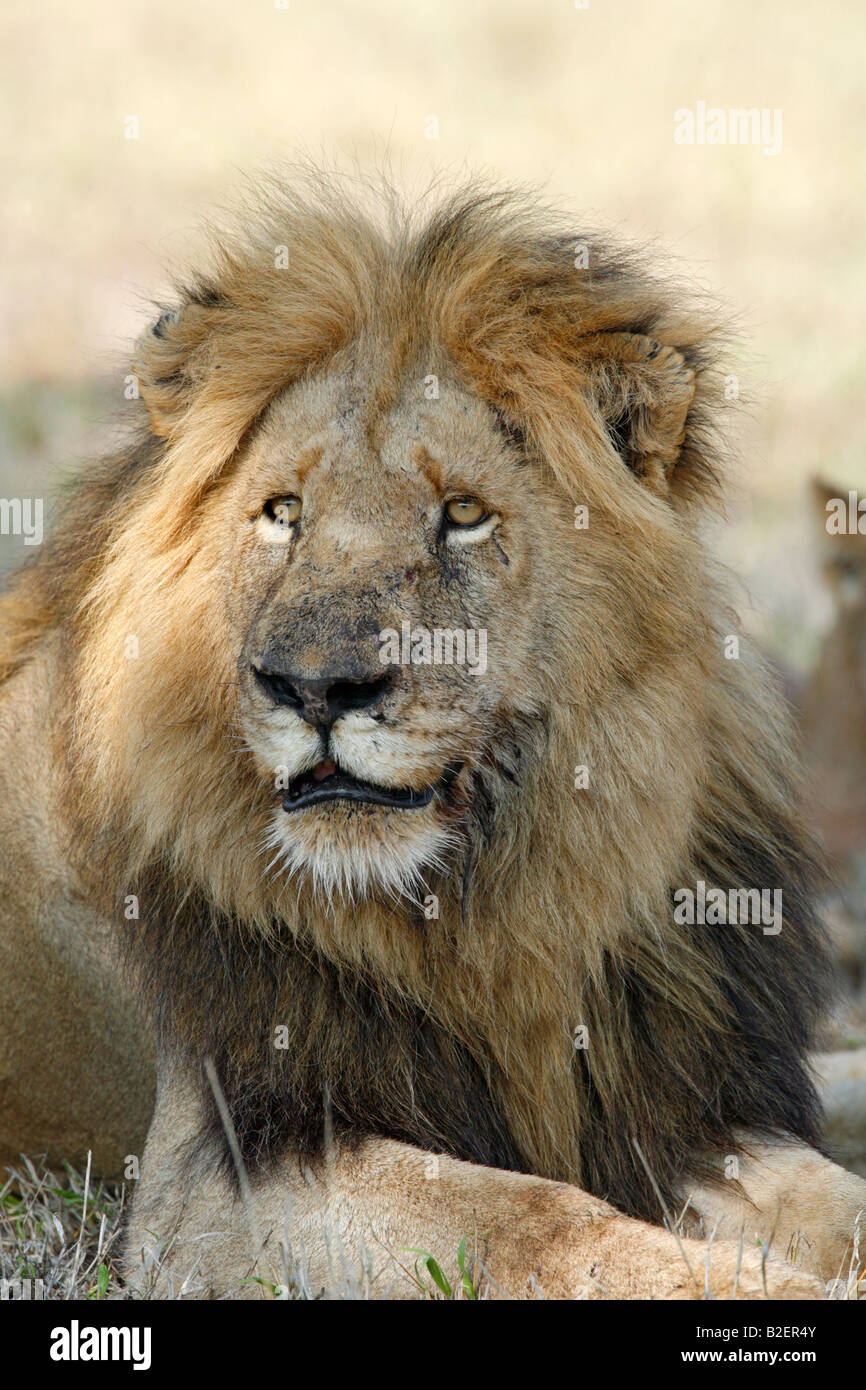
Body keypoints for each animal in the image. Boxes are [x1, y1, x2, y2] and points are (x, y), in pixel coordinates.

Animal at [1, 172, 865, 1301]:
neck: (494, 902)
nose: (316, 687)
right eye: (281, 512)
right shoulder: (210, 1181)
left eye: (461, 513)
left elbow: (831, 1196)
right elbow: (536, 1219)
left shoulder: (675, 1098)